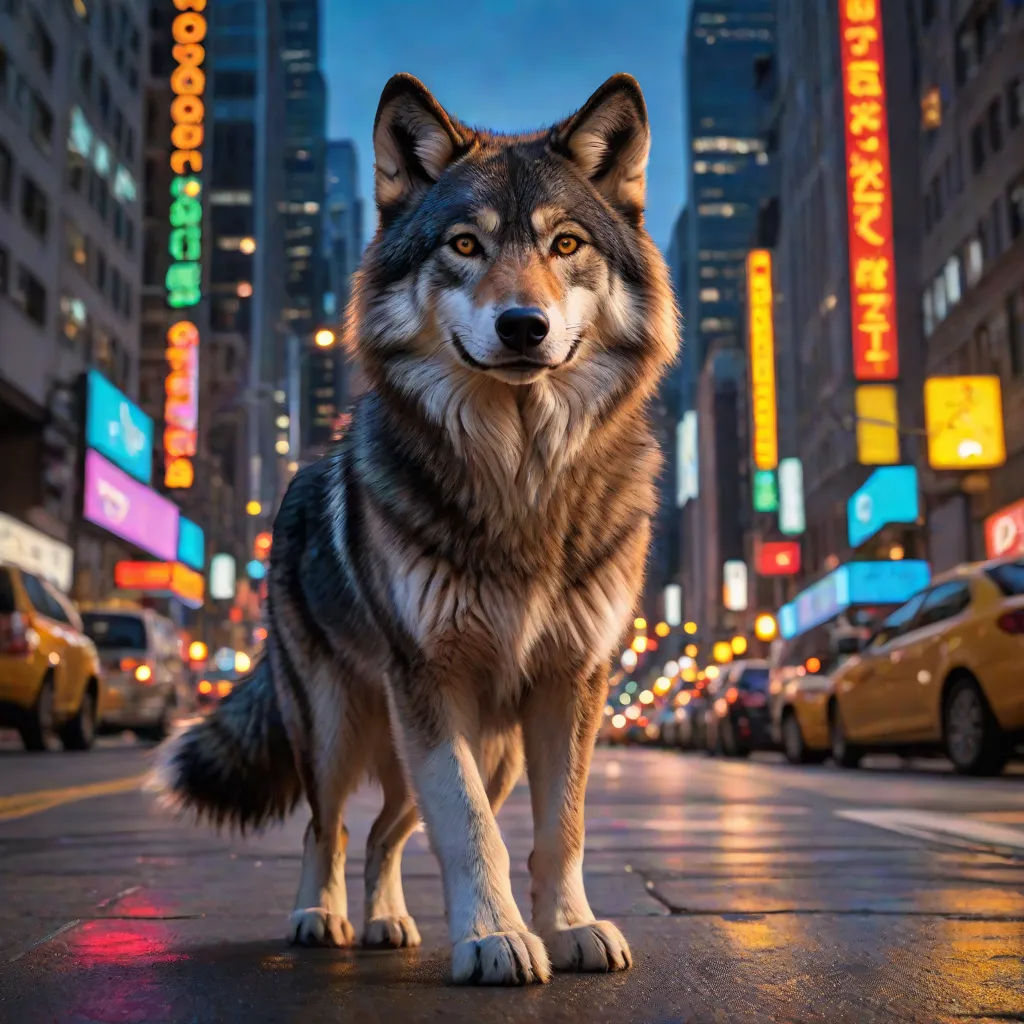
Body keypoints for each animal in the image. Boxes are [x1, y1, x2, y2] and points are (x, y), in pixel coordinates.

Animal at [155, 72, 678, 986]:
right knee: (326, 826)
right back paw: (321, 918)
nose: (522, 325)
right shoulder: (429, 681)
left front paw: (568, 927)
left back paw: (388, 922)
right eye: (465, 245)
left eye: (566, 244)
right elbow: (469, 831)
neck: (521, 478)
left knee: (383, 832)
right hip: (335, 726)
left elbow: (560, 831)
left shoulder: (573, 683)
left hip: (482, 750)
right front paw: (495, 937)